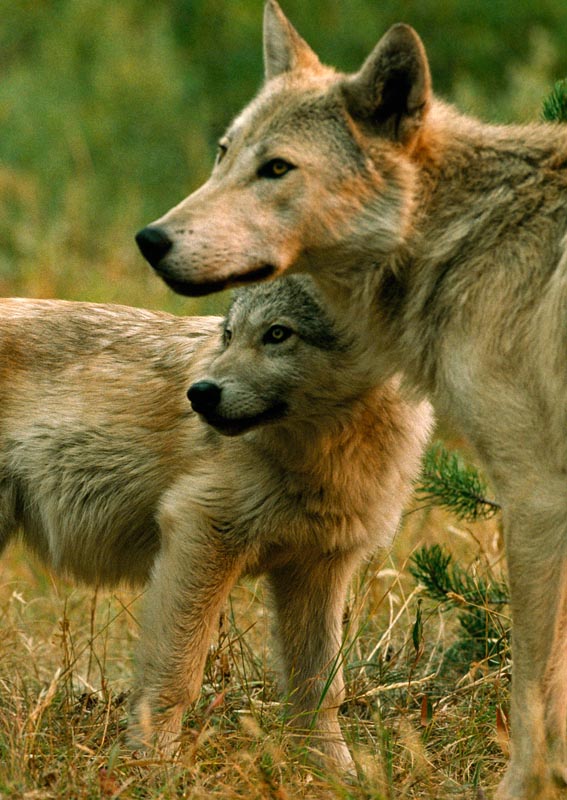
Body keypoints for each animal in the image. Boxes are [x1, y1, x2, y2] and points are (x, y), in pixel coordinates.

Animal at [0, 279, 430, 767]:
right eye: (229, 334)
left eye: (277, 334)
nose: (200, 393)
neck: (329, 457)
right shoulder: (199, 527)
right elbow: (175, 676)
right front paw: (157, 767)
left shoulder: (320, 567)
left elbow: (321, 689)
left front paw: (335, 771)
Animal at [134, 2, 567, 797]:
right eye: (223, 154)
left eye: (276, 168)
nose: (150, 239)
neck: (462, 238)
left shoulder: (536, 494)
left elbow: (533, 698)